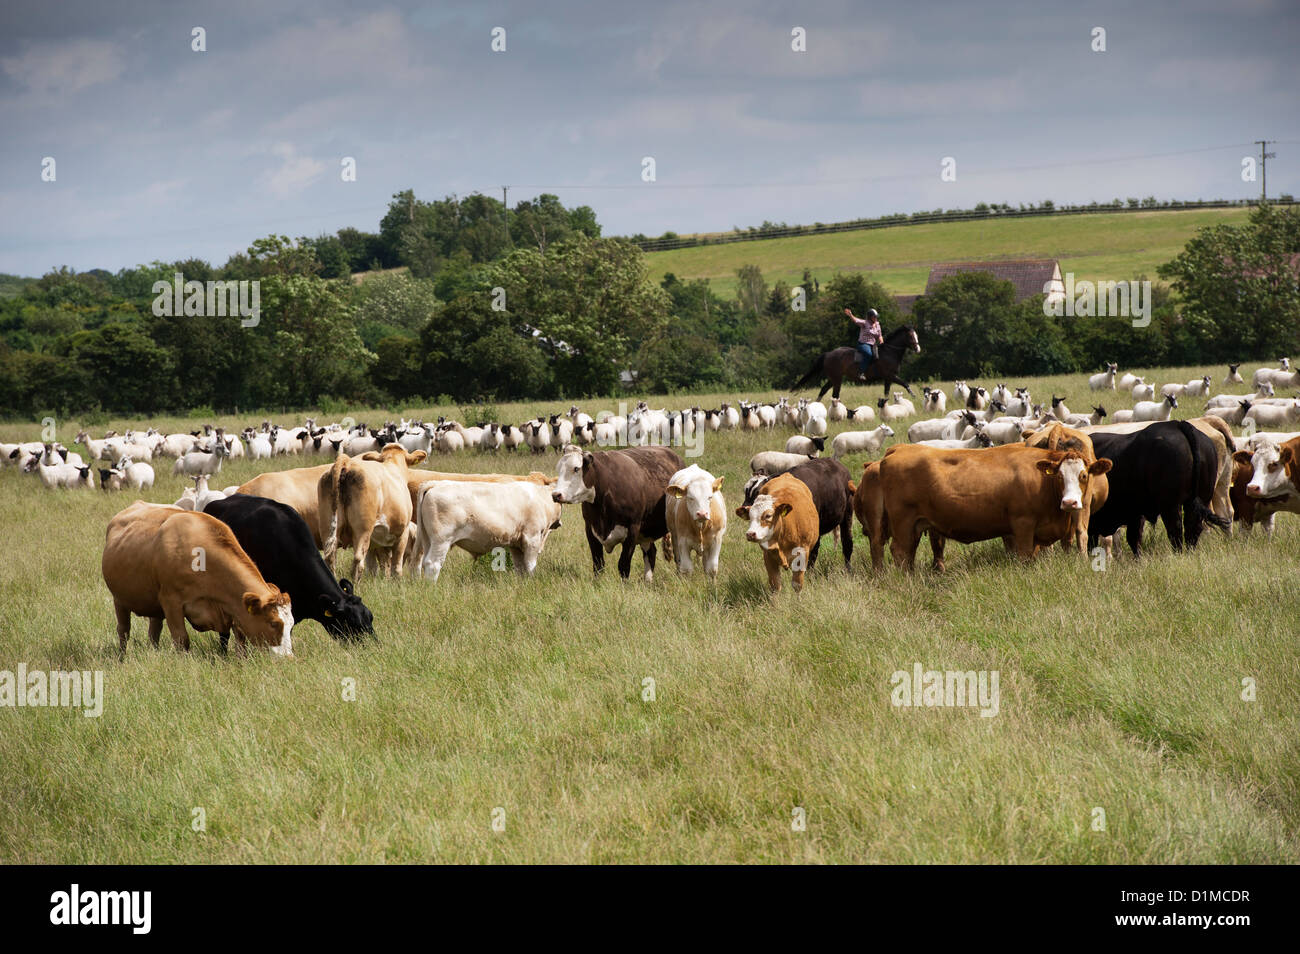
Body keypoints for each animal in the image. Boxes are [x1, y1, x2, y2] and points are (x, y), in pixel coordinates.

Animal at [102, 501, 293, 657]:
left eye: (291, 625)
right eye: (273, 623)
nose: (288, 658)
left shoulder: (234, 608)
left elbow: (240, 640)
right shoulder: (171, 602)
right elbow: (181, 639)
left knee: (154, 632)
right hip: (119, 600)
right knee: (123, 631)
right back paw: (122, 657)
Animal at [552, 445, 684, 579]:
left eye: (576, 468)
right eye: (558, 469)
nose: (556, 495)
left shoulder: (633, 529)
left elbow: (623, 565)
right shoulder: (590, 528)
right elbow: (598, 564)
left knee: (678, 555)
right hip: (646, 532)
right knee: (651, 553)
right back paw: (648, 580)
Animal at [791, 325, 921, 401]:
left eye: (916, 335)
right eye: (910, 336)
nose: (918, 349)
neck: (890, 352)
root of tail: (828, 354)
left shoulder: (888, 378)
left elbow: (886, 393)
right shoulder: (891, 376)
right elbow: (905, 384)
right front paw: (914, 396)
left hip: (833, 378)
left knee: (824, 390)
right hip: (837, 379)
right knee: (835, 395)